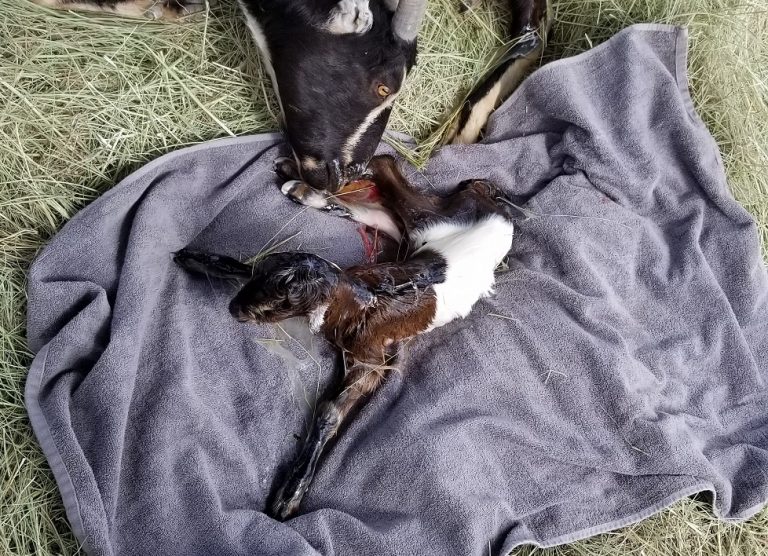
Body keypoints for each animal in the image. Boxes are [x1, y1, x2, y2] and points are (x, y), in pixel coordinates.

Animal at [174, 154, 516, 520]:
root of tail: (495, 204)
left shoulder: (371, 362)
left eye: (282, 303)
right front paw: (194, 259)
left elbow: (329, 412)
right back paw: (297, 185)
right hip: (416, 233)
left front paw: (288, 497)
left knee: (386, 172)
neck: (361, 299)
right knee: (383, 189)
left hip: (427, 220)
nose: (235, 308)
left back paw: (300, 185)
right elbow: (245, 267)